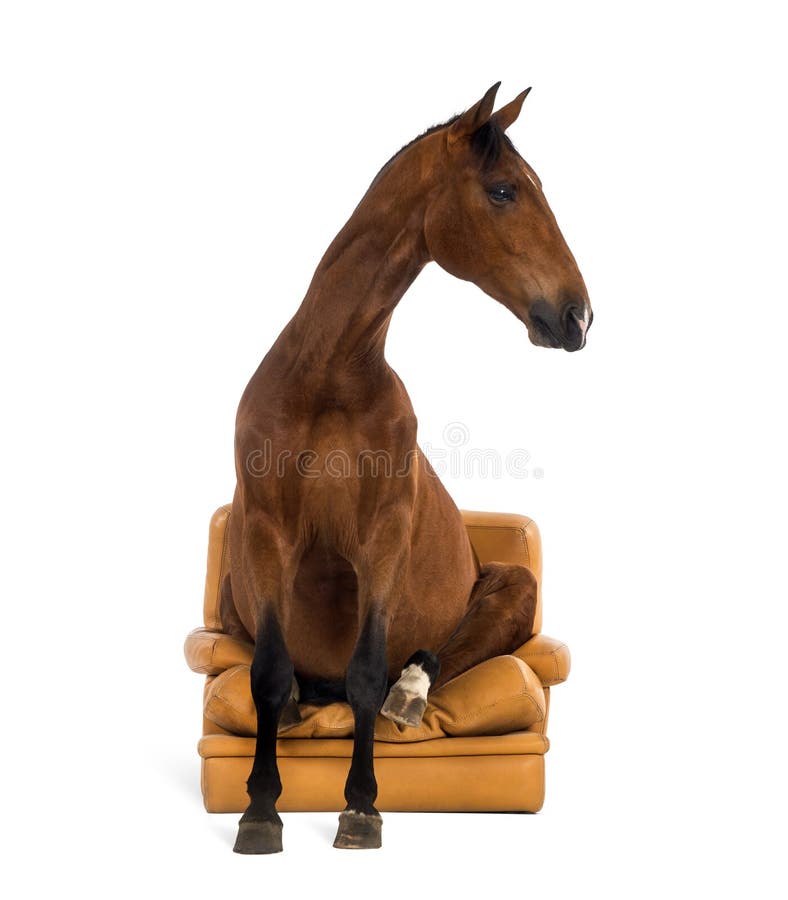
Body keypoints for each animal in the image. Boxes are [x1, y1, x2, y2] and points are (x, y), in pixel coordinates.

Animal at [224, 82, 592, 853]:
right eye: (505, 190)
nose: (578, 316)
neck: (329, 378)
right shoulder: (268, 533)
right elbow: (267, 677)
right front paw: (261, 811)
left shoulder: (383, 538)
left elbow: (367, 671)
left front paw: (361, 807)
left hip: (512, 585)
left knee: (428, 657)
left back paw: (410, 695)